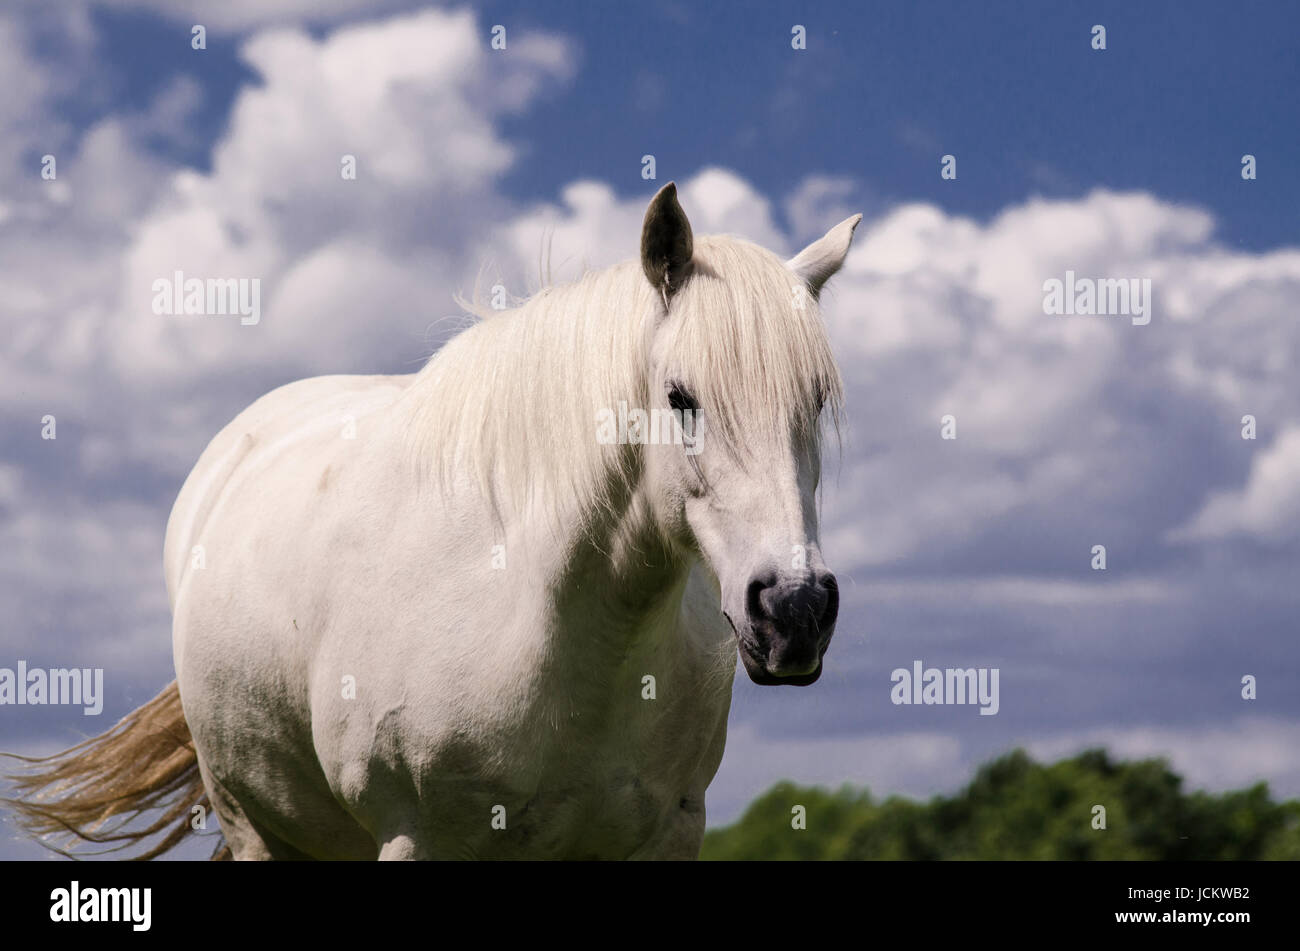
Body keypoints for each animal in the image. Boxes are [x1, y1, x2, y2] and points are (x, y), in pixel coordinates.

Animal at [3, 183, 860, 860]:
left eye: (816, 400)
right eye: (681, 397)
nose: (794, 610)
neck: (545, 618)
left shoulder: (666, 836)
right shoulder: (418, 837)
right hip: (255, 826)